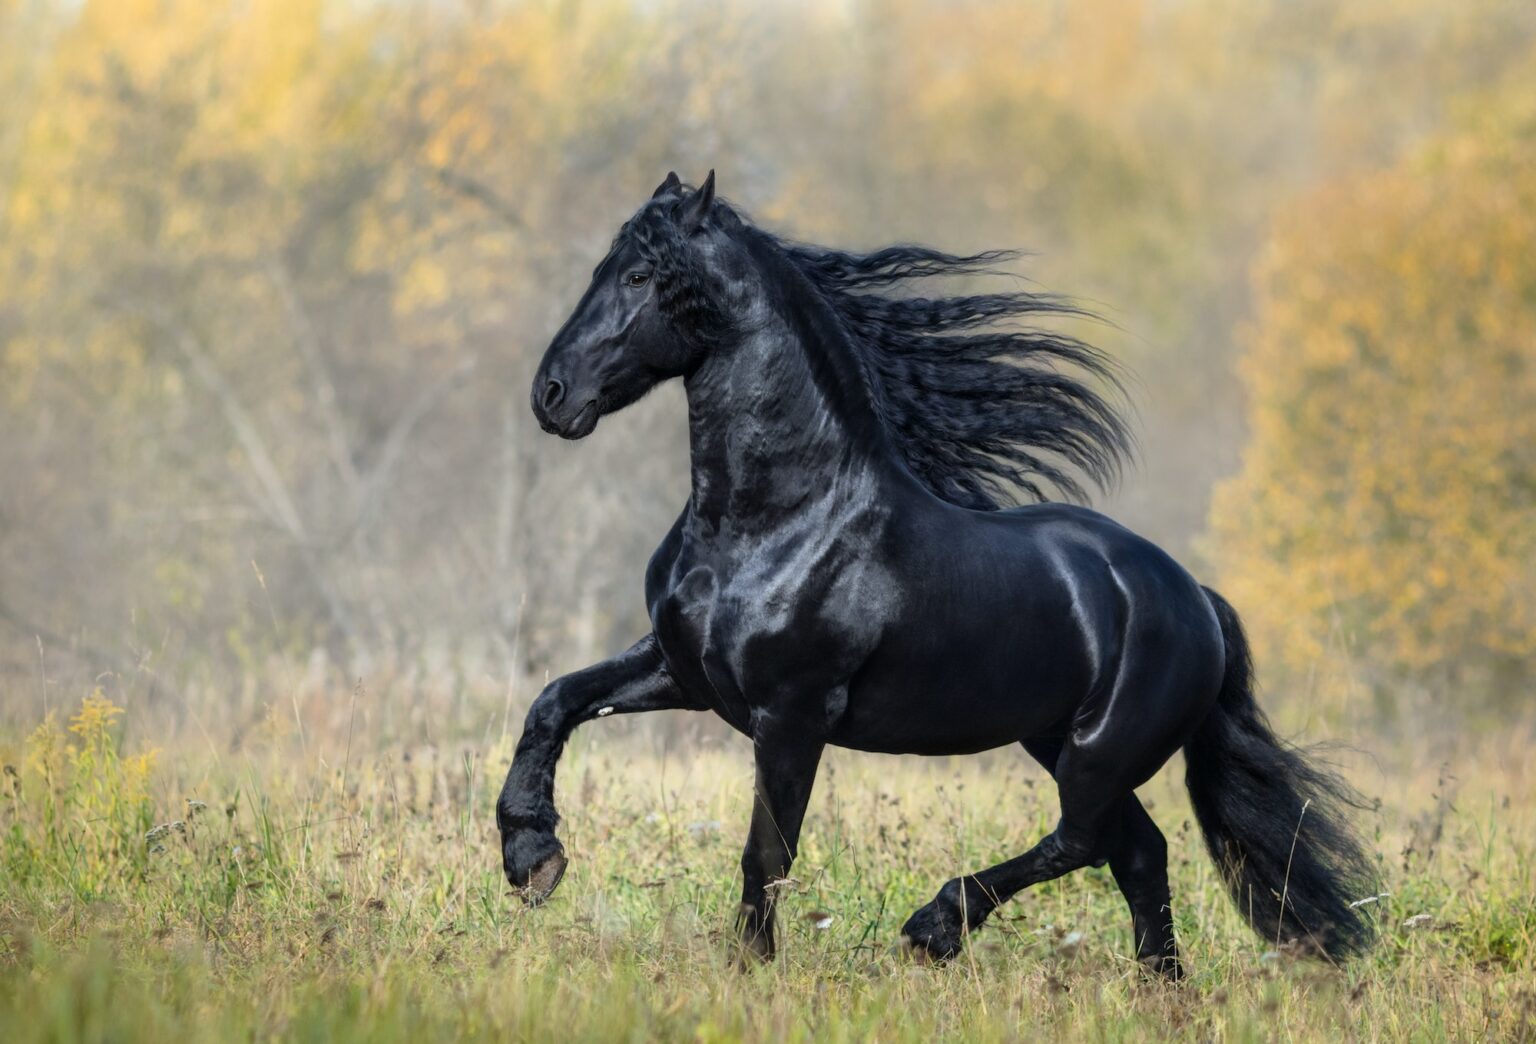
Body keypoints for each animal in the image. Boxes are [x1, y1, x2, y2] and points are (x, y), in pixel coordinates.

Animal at [495, 170, 1377, 976]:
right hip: (1053, 737)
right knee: (1137, 851)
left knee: (1086, 839)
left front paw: (751, 970)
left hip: (1099, 750)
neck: (774, 518)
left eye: (640, 276)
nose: (550, 394)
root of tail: (1197, 599)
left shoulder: (792, 714)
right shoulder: (683, 671)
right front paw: (531, 856)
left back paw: (936, 927)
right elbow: (555, 703)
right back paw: (1159, 990)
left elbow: (767, 853)